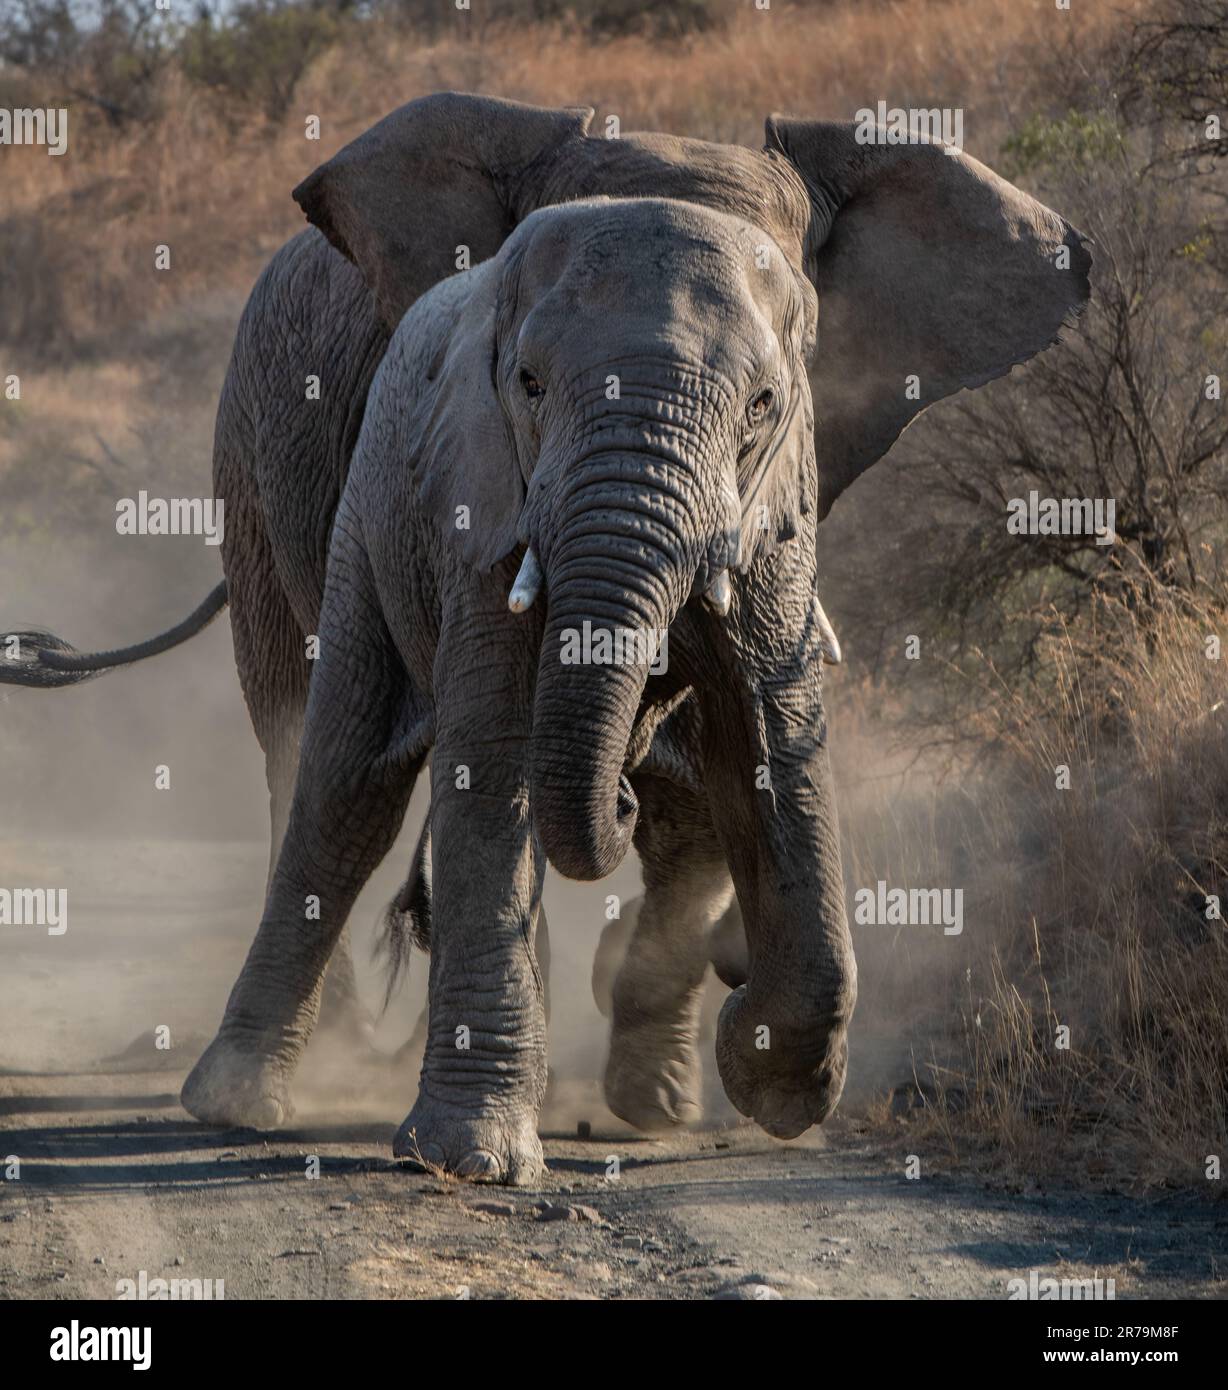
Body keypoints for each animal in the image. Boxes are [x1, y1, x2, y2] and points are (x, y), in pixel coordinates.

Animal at [0, 92, 1090, 1183]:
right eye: (526, 382)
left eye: (767, 402)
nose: (622, 778)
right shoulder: (479, 494)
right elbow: (499, 756)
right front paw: (477, 1154)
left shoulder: (781, 504)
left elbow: (766, 751)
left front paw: (735, 1079)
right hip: (271, 478)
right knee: (330, 772)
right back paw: (259, 1094)